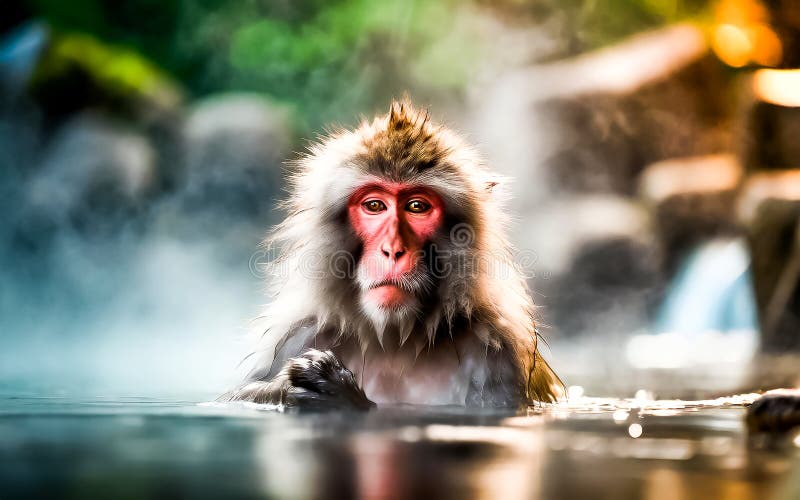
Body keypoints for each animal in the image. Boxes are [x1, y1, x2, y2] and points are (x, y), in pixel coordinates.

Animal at [220, 100, 564, 410]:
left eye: (417, 206)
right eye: (375, 206)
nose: (392, 250)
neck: (394, 340)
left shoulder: (499, 351)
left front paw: (337, 393)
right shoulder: (297, 336)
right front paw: (284, 390)